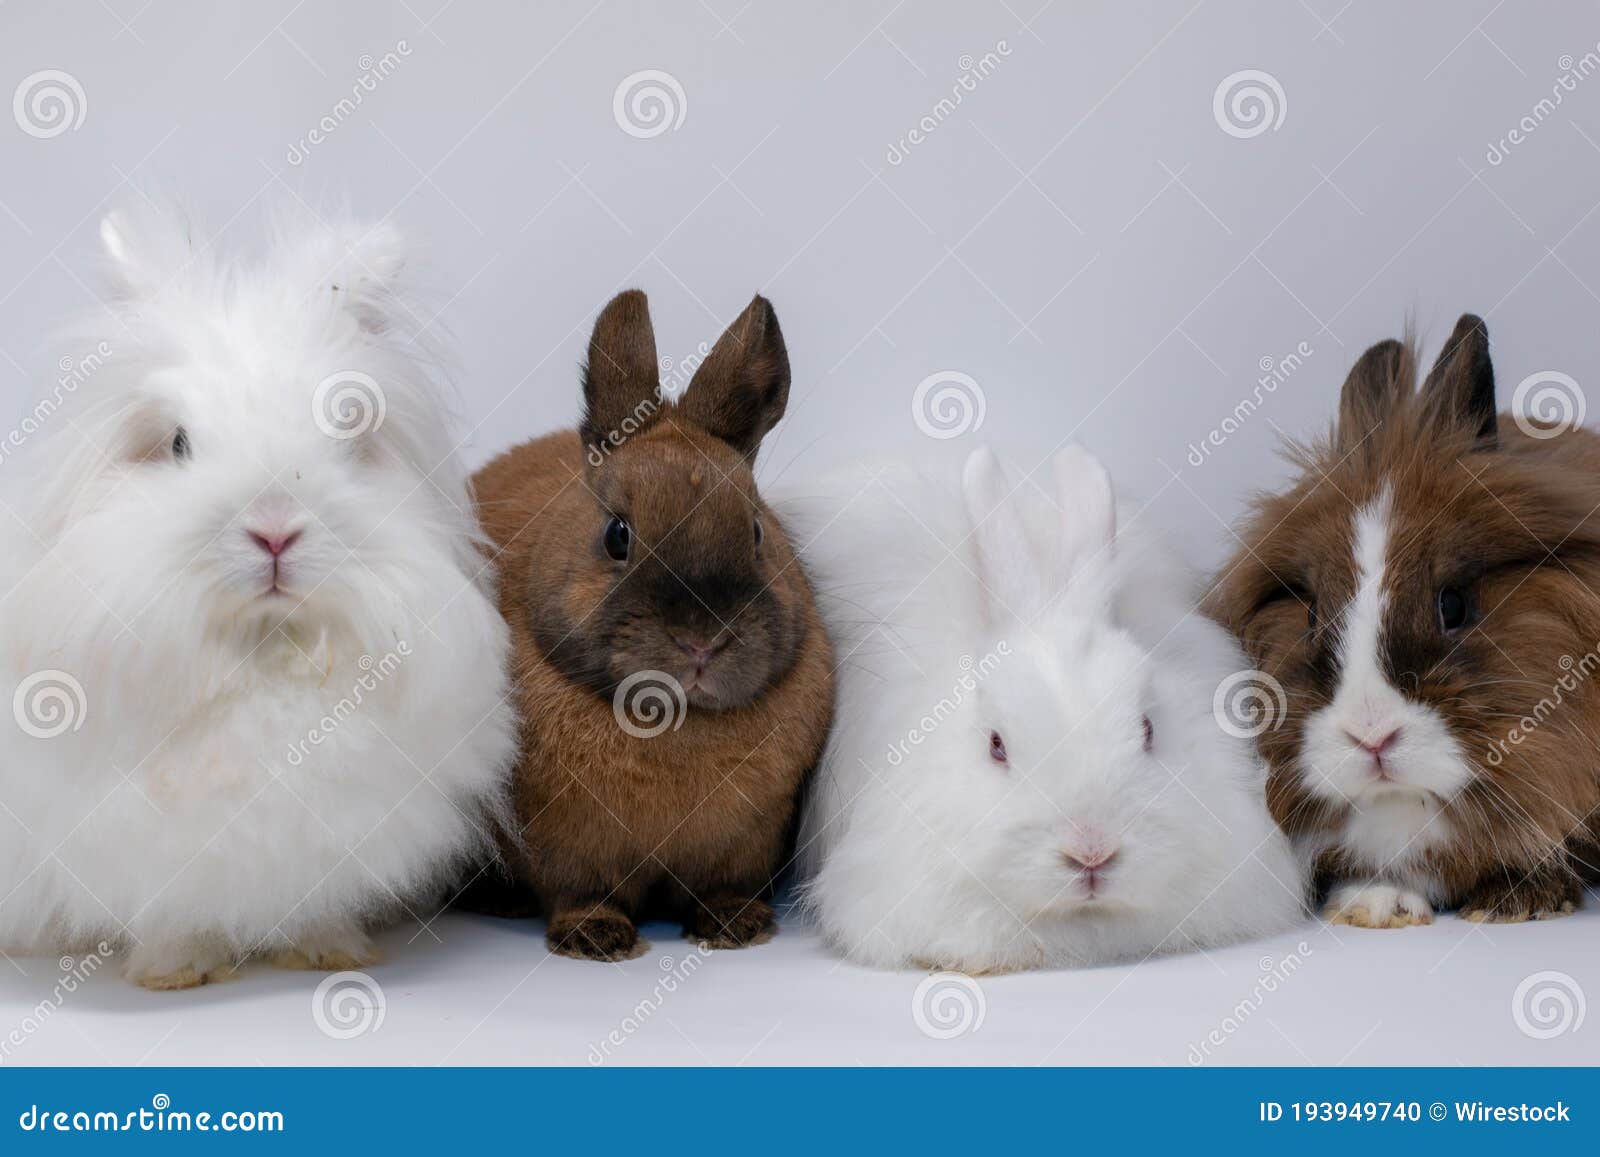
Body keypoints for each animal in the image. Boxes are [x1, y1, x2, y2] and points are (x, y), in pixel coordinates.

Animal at [0, 203, 517, 988]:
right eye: (177, 443)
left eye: (346, 435)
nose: (274, 531)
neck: (263, 656)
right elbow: (173, 916)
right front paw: (175, 972)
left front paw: (326, 951)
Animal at [469, 289, 835, 961]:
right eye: (617, 535)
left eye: (757, 532)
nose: (701, 641)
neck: (677, 728)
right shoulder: (564, 849)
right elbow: (579, 892)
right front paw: (597, 939)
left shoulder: (749, 839)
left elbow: (725, 885)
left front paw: (736, 925)